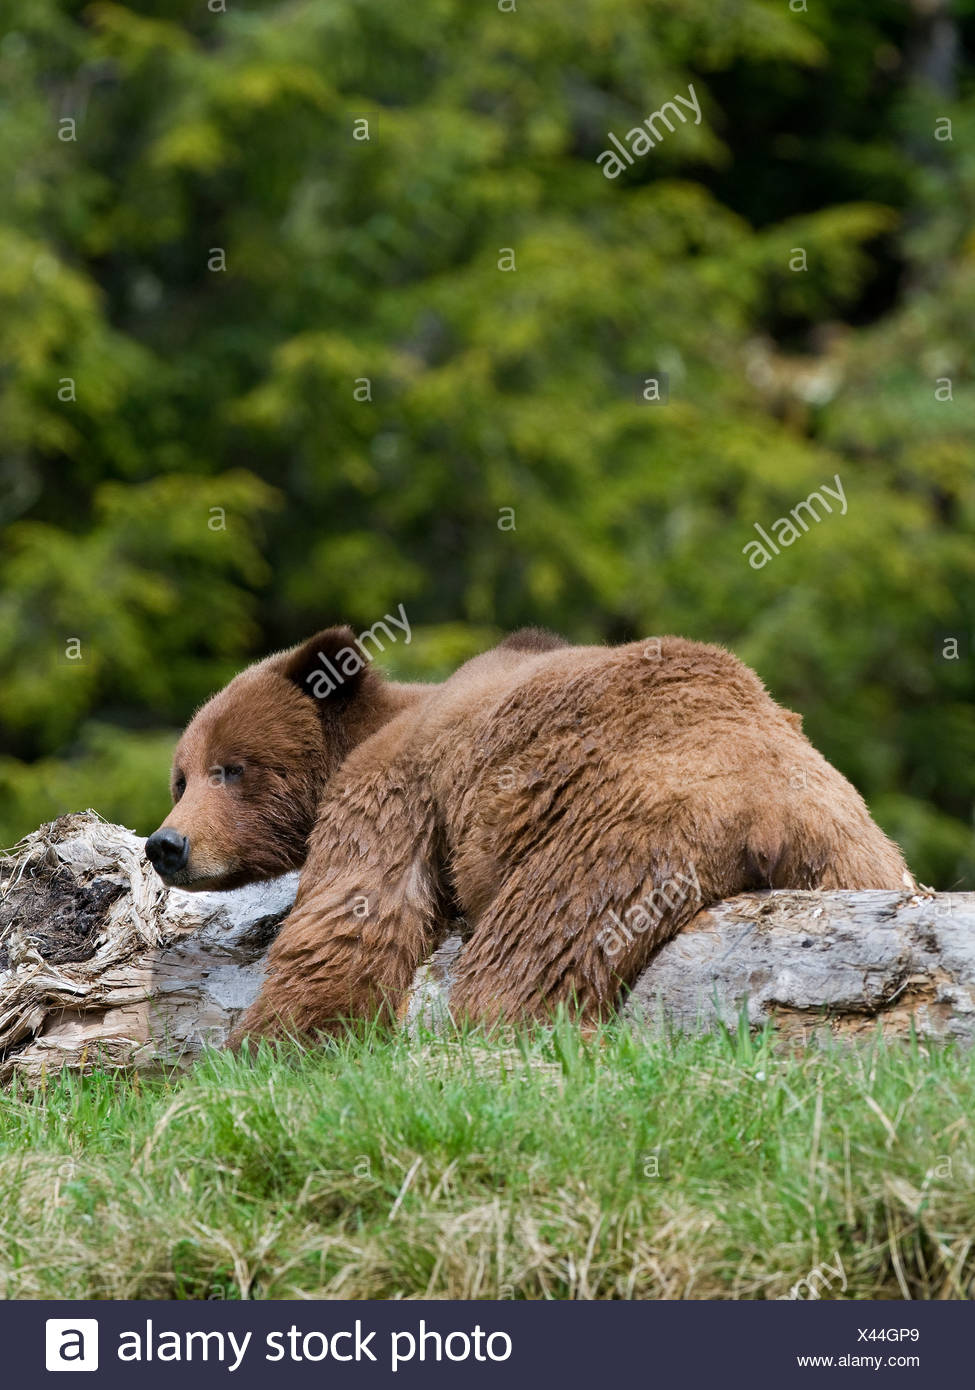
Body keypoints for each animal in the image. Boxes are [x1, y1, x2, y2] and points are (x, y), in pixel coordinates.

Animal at [145, 626, 913, 1045]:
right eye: (181, 777)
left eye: (230, 769)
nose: (166, 846)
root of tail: (772, 808)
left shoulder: (393, 790)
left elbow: (351, 921)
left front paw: (256, 1045)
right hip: (856, 855)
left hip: (609, 832)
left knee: (524, 962)